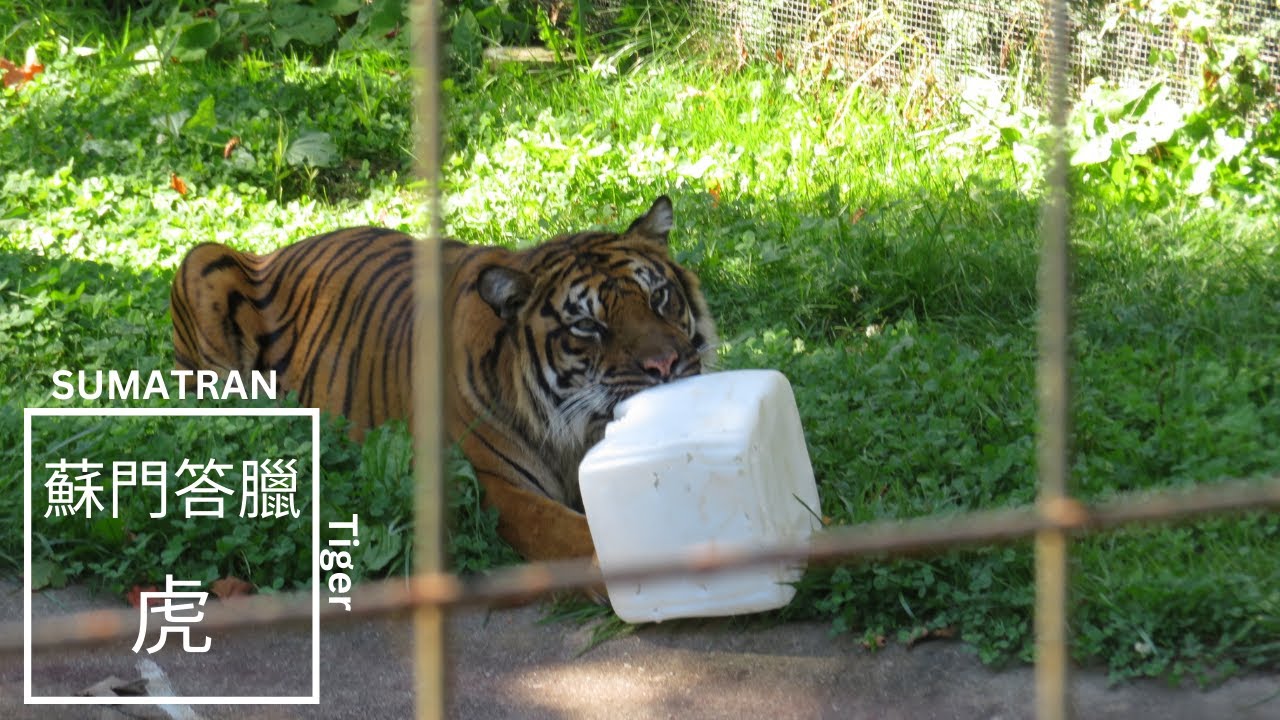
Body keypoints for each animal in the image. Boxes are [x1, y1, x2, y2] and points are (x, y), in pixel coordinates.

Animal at [170, 196, 718, 561]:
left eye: (659, 297)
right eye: (587, 325)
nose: (666, 365)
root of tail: (276, 250)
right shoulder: (492, 488)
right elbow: (577, 537)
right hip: (200, 261)